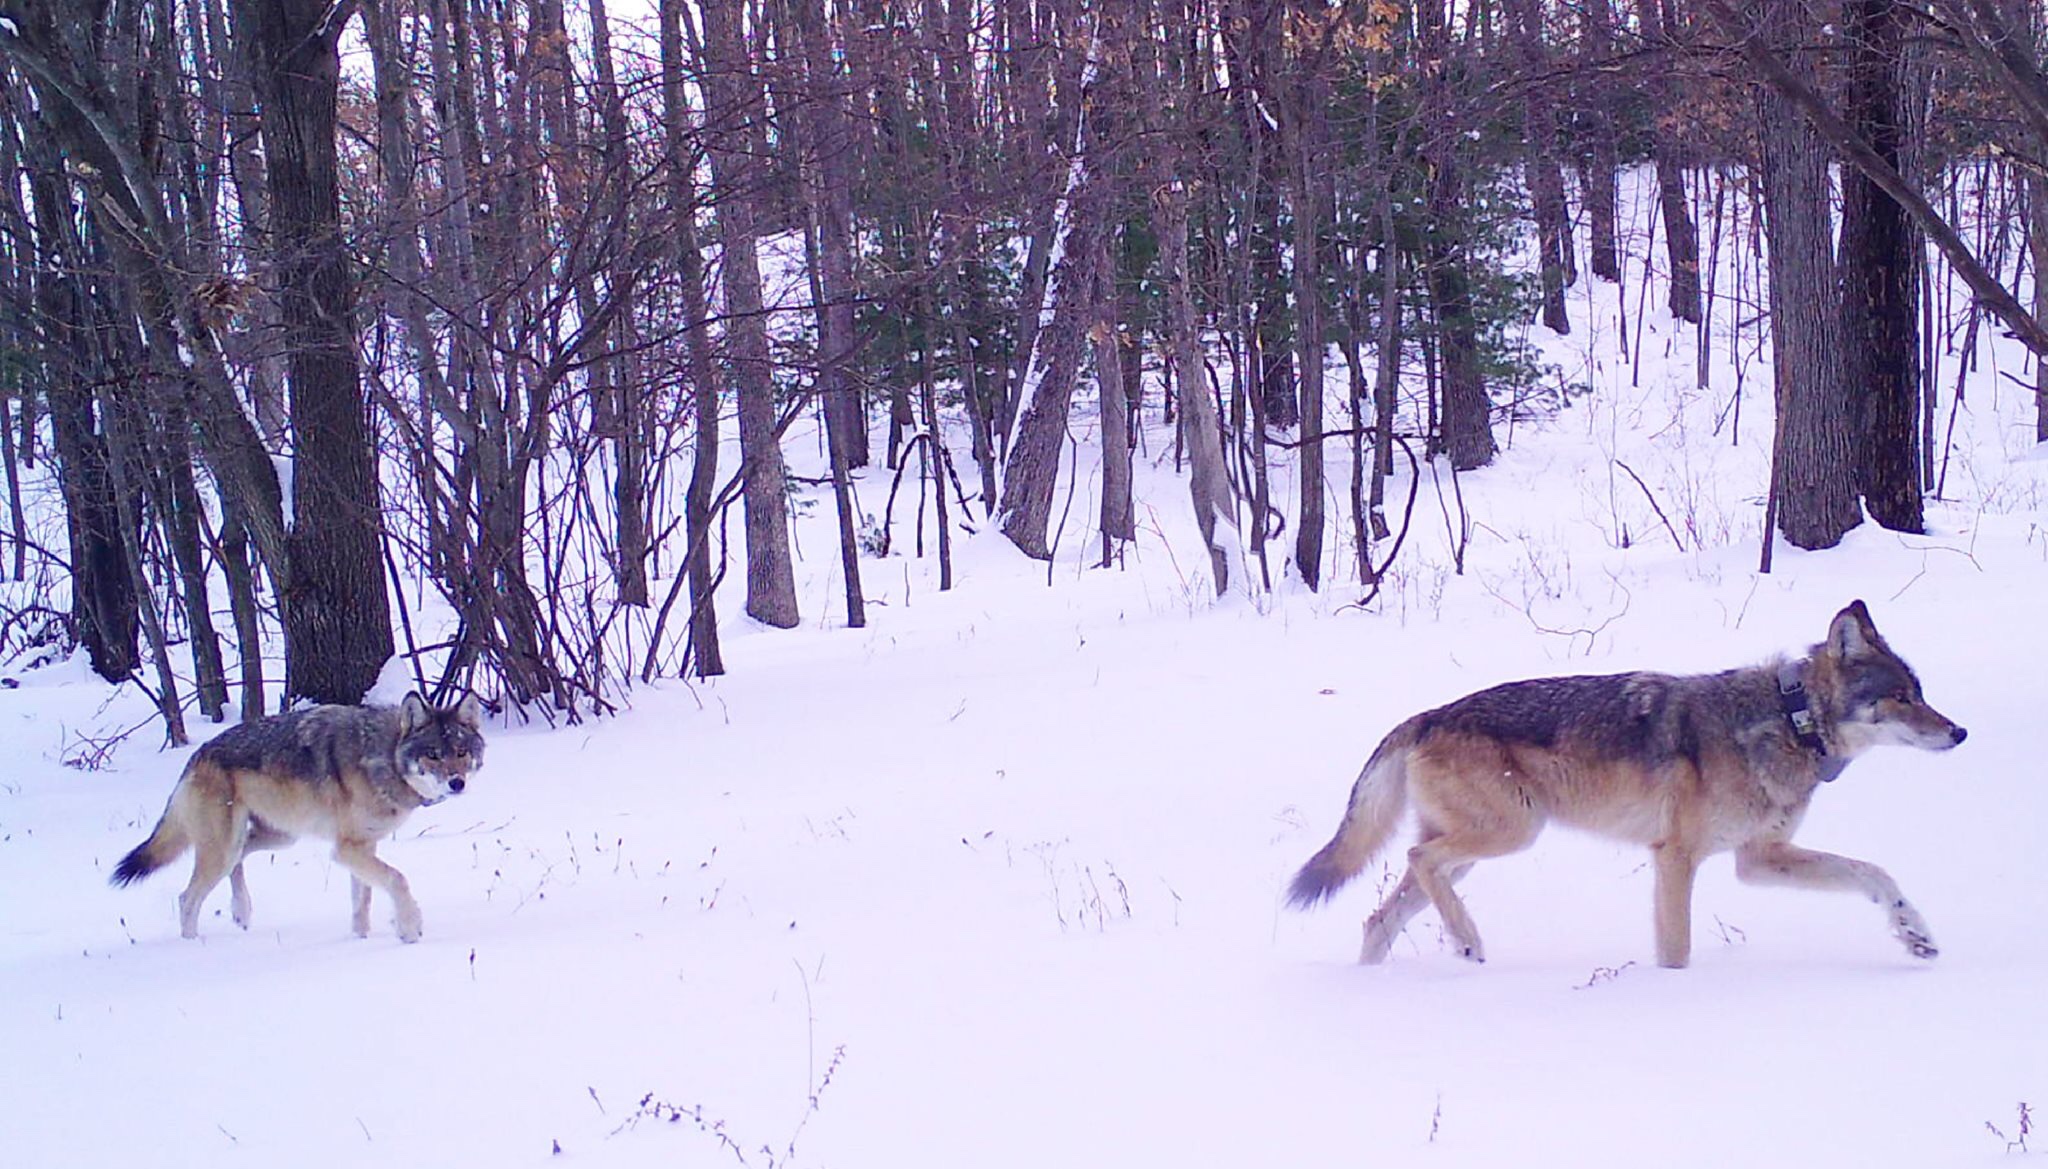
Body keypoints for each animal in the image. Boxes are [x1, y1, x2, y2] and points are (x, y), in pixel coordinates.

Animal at [110, 692, 485, 943]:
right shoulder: (347, 850)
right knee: (187, 899)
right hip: (225, 849)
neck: (385, 757)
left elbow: (361, 902)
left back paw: (241, 911)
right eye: (433, 755)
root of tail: (195, 758)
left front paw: (360, 940)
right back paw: (193, 947)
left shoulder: (364, 848)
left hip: (275, 838)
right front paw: (410, 928)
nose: (457, 783)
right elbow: (398, 880)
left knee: (238, 860)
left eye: (461, 752)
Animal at [1288, 601, 1966, 968]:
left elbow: (1873, 875)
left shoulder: (1757, 858)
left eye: (1921, 692)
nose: (1959, 732)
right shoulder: (1677, 858)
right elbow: (1677, 948)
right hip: (1511, 834)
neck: (1786, 720)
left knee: (1379, 919)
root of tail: (1426, 715)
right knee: (1415, 857)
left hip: (1479, 851)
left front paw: (1916, 936)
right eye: (1901, 697)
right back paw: (1468, 944)